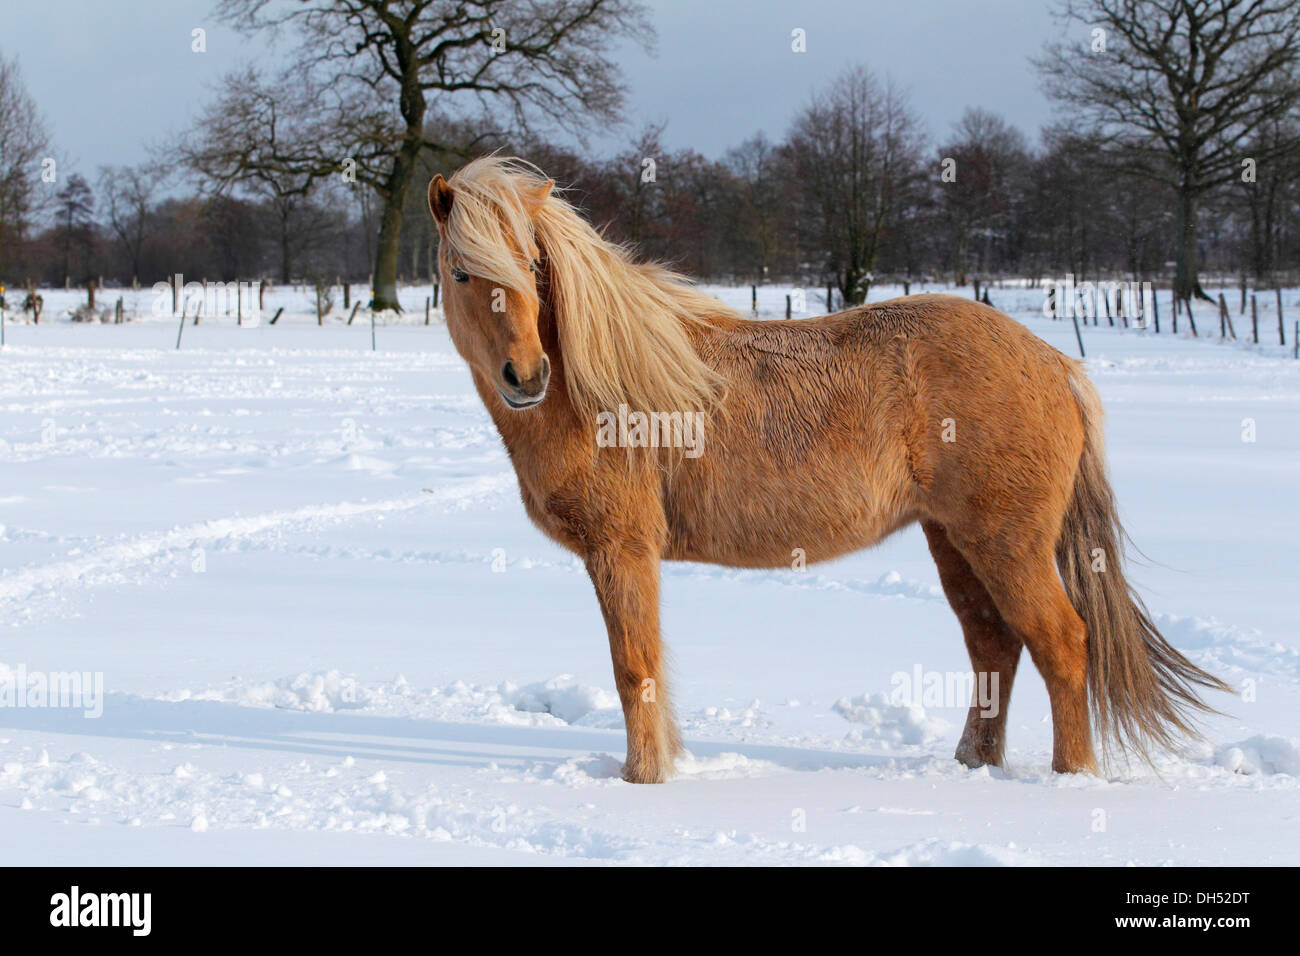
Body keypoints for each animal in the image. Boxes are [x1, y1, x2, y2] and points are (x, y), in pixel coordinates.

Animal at [426, 156, 1229, 783]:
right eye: (461, 273)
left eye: (532, 268)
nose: (526, 376)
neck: (605, 391)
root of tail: (1057, 363)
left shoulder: (623, 550)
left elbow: (635, 668)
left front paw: (643, 778)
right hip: (954, 541)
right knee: (993, 647)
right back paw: (974, 765)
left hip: (1010, 544)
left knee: (1060, 645)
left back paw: (1071, 779)